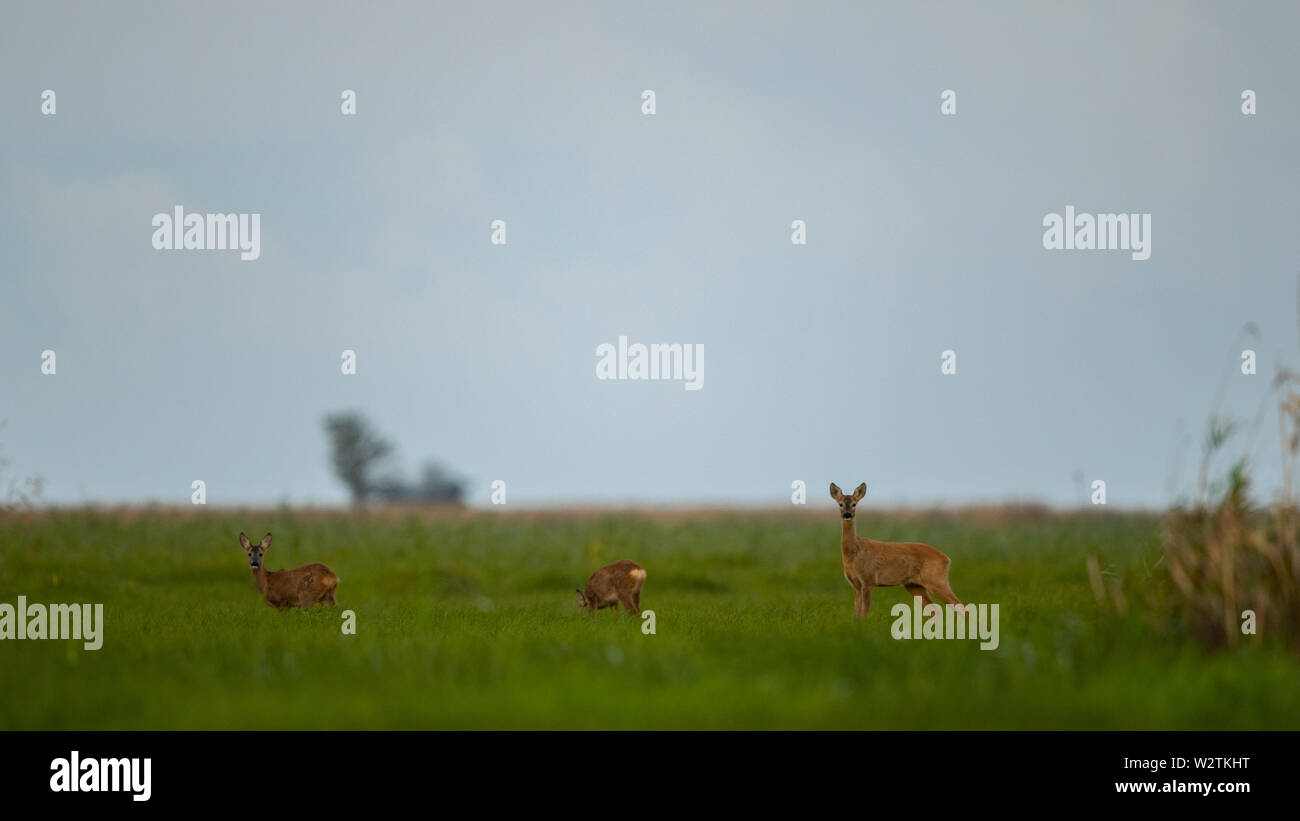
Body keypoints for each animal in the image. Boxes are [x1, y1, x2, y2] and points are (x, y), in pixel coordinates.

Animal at [829, 483, 963, 620]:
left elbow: (864, 613)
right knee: (935, 610)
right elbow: (856, 614)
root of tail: (946, 558)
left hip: (936, 580)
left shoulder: (868, 580)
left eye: (854, 504)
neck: (854, 553)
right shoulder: (855, 584)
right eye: (840, 504)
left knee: (960, 605)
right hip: (914, 586)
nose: (847, 514)